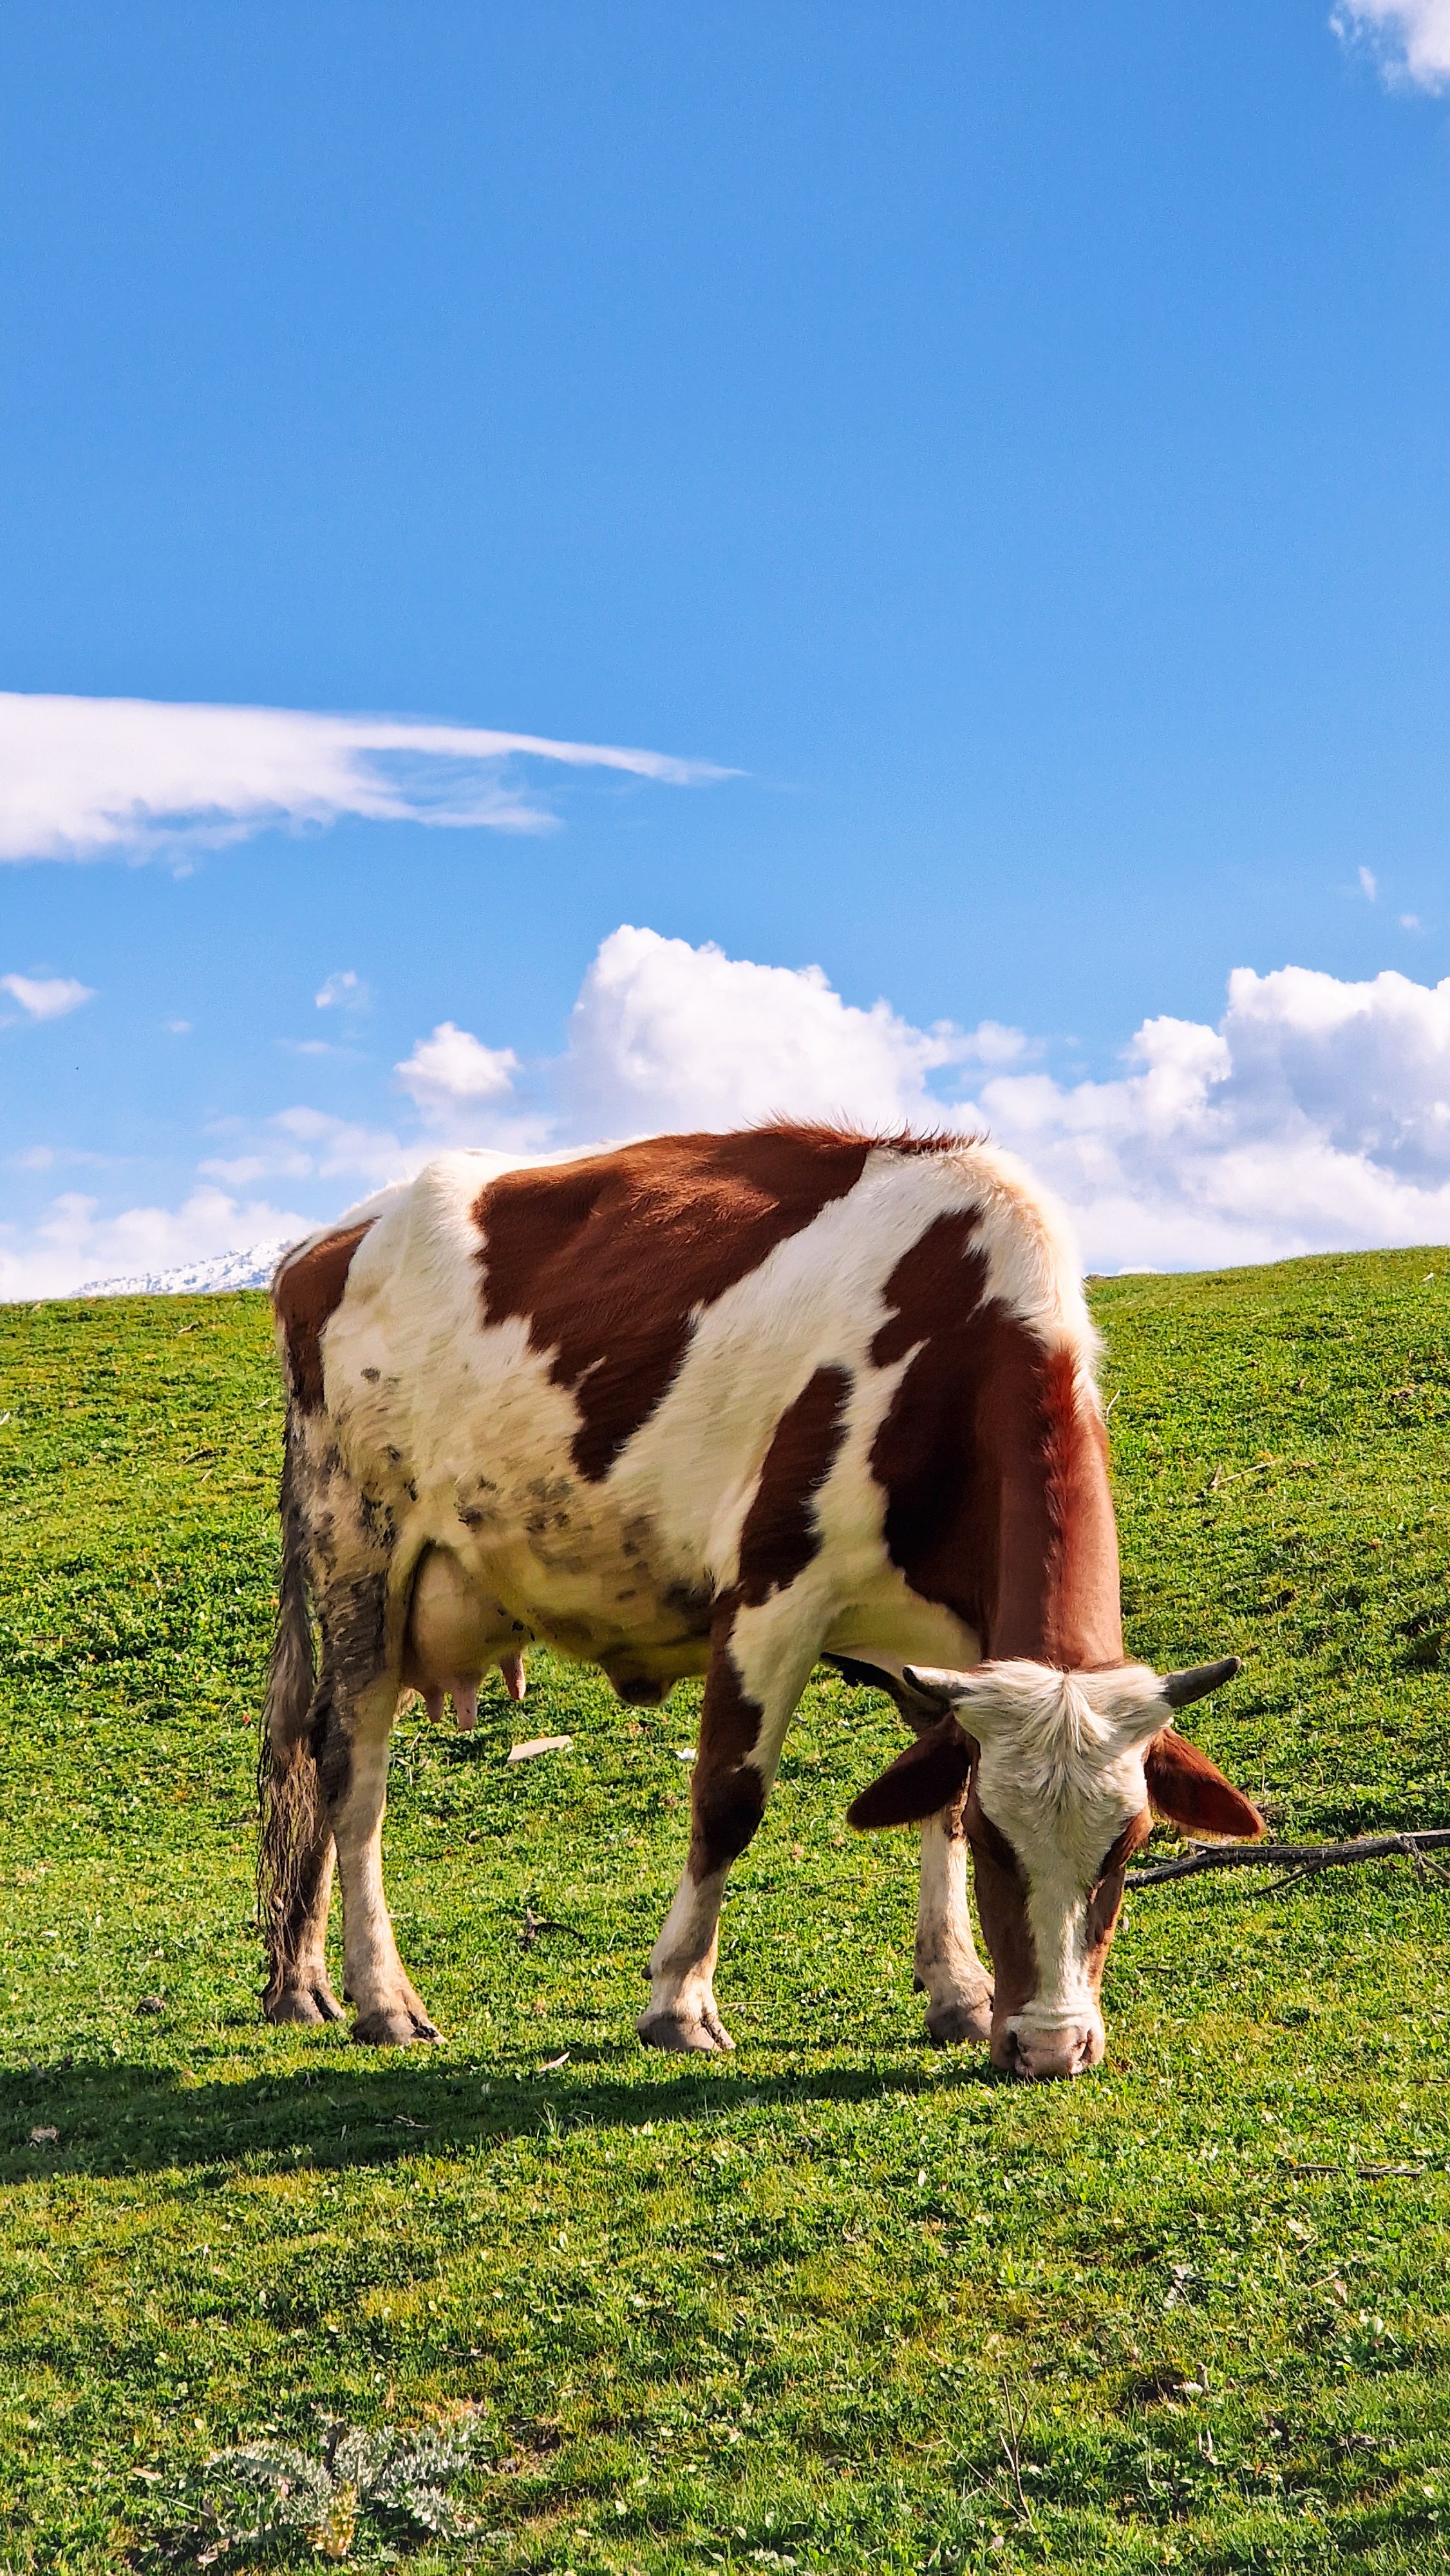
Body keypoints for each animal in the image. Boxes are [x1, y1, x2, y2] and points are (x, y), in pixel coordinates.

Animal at [258, 1123, 1263, 2082]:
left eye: (1130, 1845)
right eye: (997, 1841)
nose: (1052, 2047)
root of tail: (325, 1243)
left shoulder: (949, 1648)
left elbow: (931, 1791)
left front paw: (960, 1992)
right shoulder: (770, 1593)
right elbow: (727, 1797)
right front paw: (679, 2005)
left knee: (305, 1750)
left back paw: (301, 1983)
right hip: (359, 1551)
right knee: (351, 1773)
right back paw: (383, 1998)